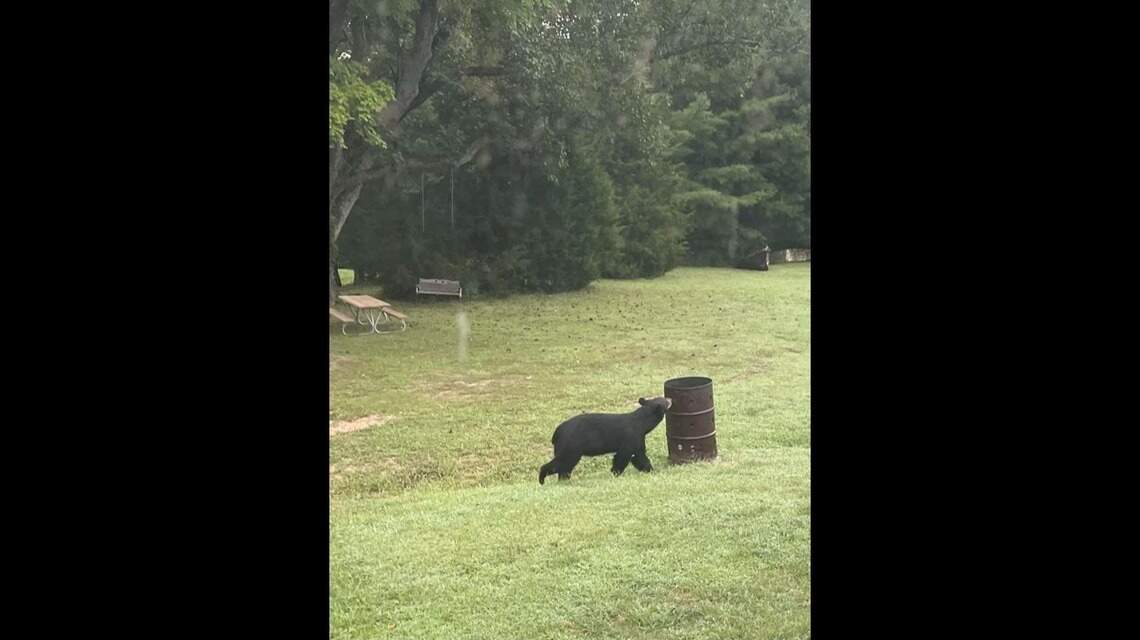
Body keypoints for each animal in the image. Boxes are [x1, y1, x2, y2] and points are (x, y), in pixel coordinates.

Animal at [538, 396, 672, 484]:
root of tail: (556, 432)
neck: (642, 423)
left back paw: (563, 480)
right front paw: (615, 473)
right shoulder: (631, 436)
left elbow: (638, 456)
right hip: (571, 445)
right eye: (665, 400)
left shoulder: (638, 438)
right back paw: (542, 479)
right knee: (563, 462)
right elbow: (625, 455)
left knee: (565, 466)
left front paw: (650, 470)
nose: (670, 398)